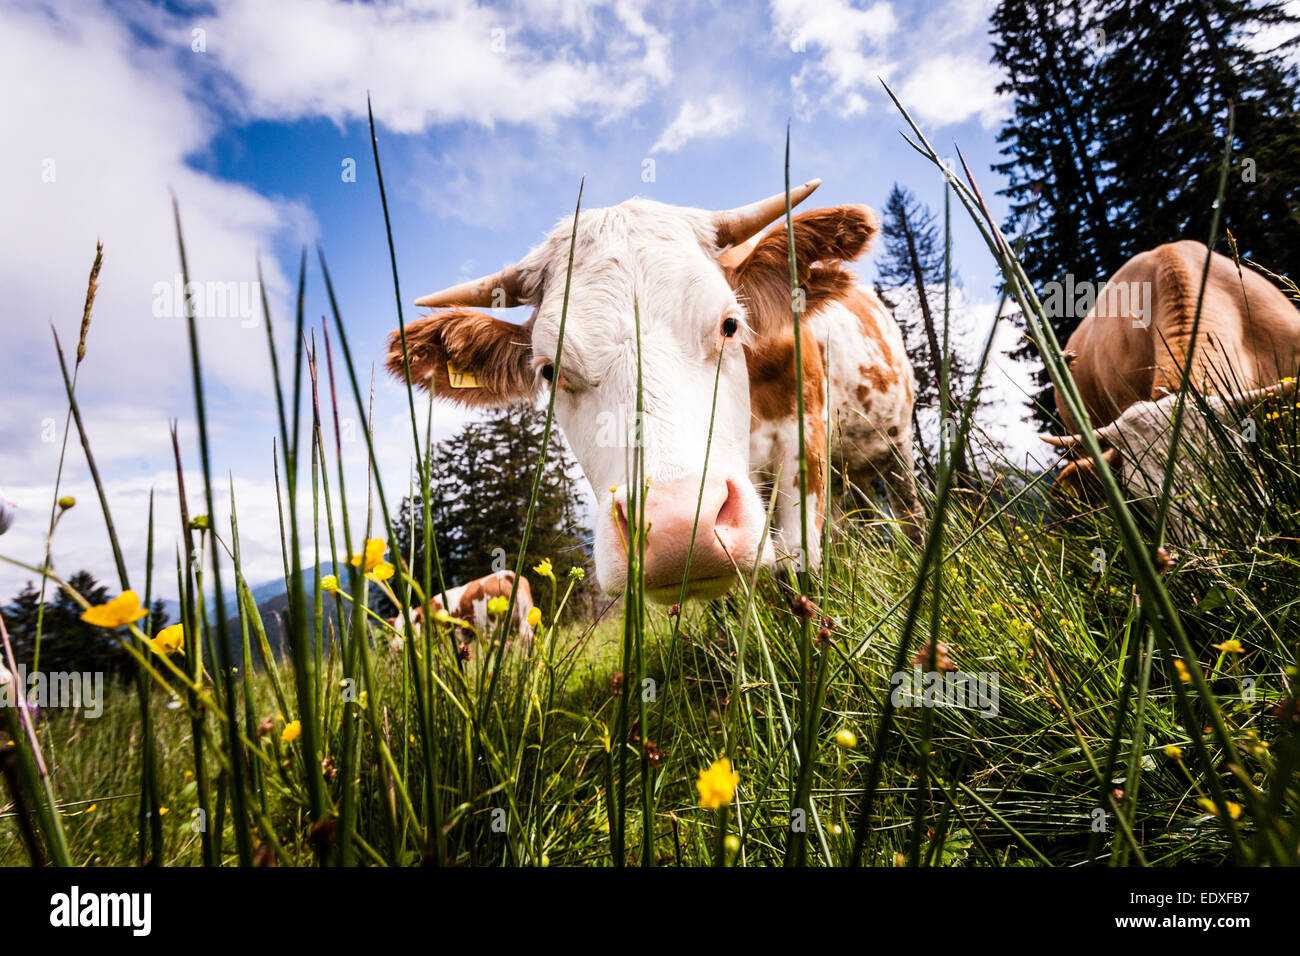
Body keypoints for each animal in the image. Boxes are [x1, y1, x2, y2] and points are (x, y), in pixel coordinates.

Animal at [387, 181, 920, 603]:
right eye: (549, 370)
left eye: (730, 324)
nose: (677, 528)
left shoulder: (803, 437)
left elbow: (797, 557)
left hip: (896, 449)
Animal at [389, 570, 535, 647]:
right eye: (395, 627)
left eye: (407, 626)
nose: (394, 646)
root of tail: (507, 574)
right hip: (525, 619)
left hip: (494, 627)